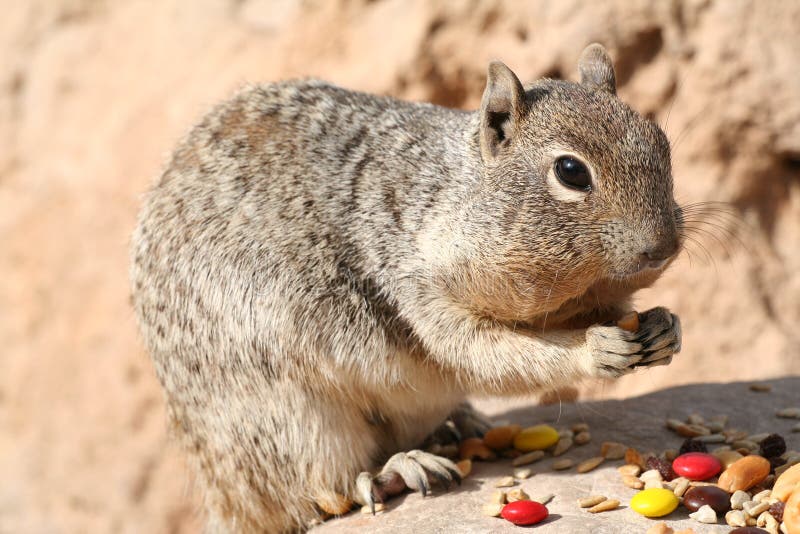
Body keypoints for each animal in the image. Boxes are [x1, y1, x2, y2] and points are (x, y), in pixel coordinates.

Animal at [130, 43, 682, 532]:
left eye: (661, 142)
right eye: (571, 171)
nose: (664, 245)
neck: (451, 198)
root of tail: (218, 494)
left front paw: (664, 328)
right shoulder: (419, 293)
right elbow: (488, 354)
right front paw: (597, 349)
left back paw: (461, 424)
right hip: (293, 420)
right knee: (322, 492)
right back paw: (396, 469)